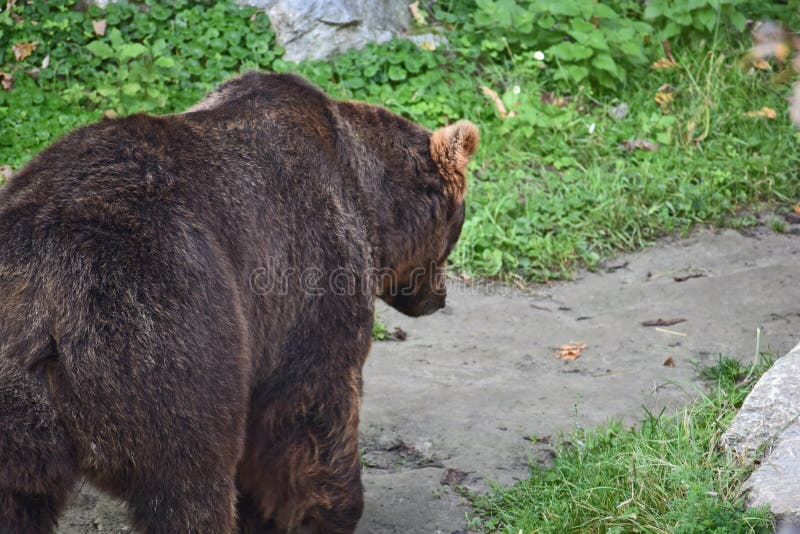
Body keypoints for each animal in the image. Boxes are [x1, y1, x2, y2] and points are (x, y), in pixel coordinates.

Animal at [0, 71, 478, 533]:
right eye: (458, 225)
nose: (439, 298)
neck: (368, 197)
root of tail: (45, 297)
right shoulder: (312, 269)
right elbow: (312, 405)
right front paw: (326, 512)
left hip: (20, 407)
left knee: (20, 499)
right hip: (161, 334)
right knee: (189, 483)